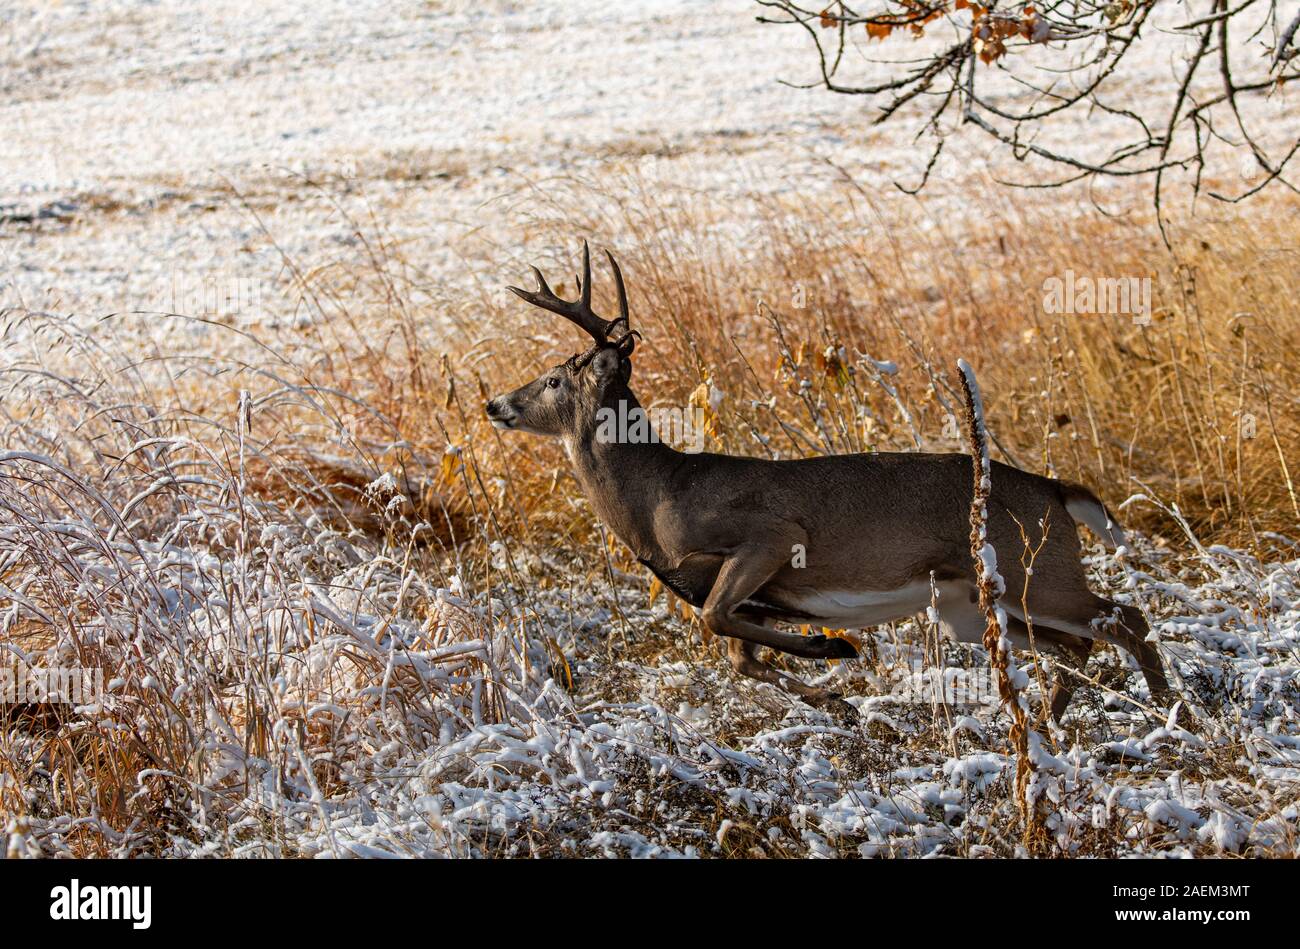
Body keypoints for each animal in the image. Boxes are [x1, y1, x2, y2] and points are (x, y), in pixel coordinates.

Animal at [485, 243, 1174, 721]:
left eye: (553, 378)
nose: (495, 403)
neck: (658, 498)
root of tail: (1055, 488)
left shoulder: (769, 534)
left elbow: (714, 618)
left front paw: (833, 650)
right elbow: (737, 651)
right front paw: (834, 696)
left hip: (1035, 570)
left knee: (1127, 616)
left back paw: (1175, 714)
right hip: (973, 601)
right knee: (1079, 644)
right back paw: (1053, 725)